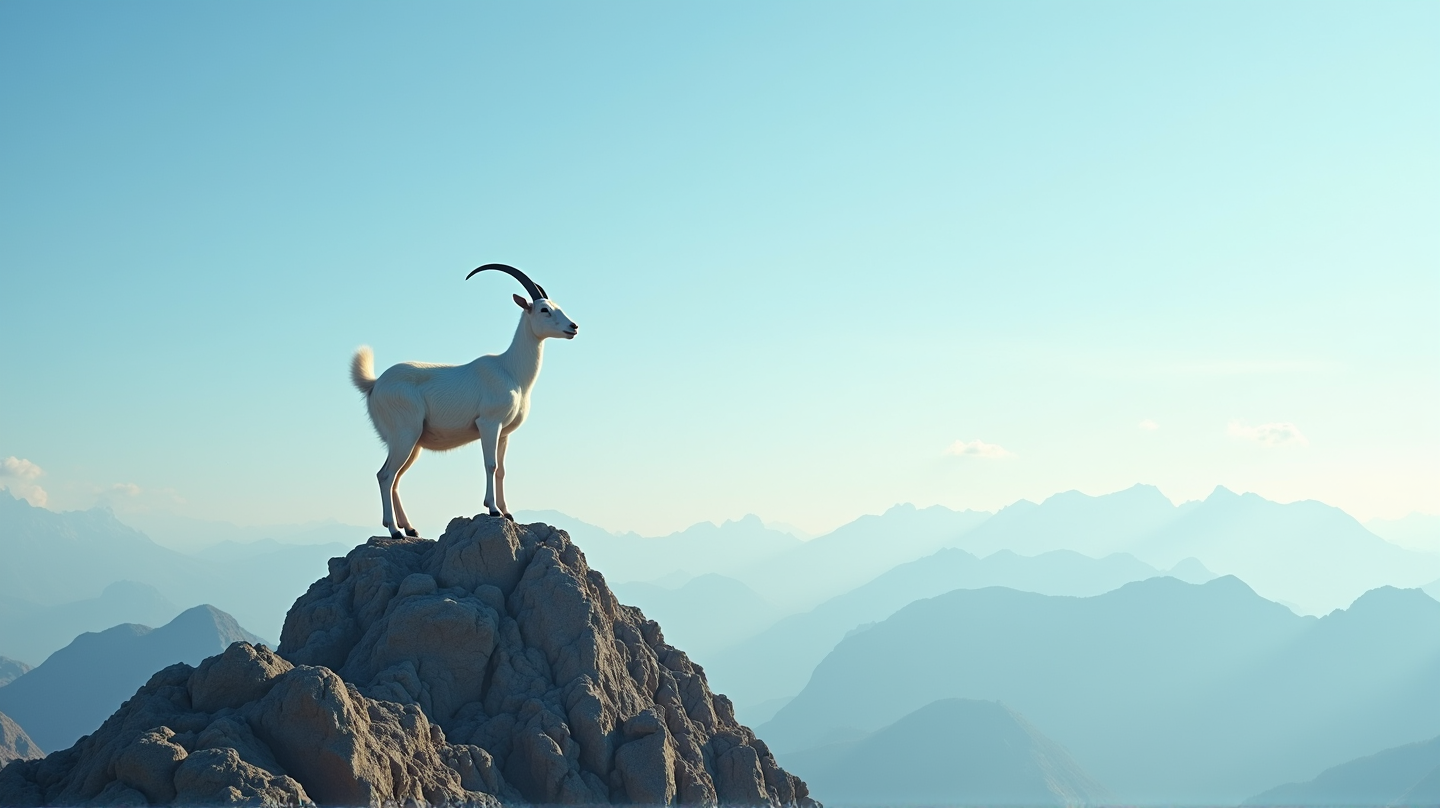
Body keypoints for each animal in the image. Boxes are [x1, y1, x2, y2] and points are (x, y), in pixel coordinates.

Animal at [349, 264, 578, 537]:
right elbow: (490, 464)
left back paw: (410, 529)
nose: (573, 327)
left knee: (395, 478)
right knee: (385, 476)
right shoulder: (488, 424)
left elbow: (502, 470)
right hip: (404, 434)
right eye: (544, 309)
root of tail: (374, 384)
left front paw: (508, 512)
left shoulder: (504, 433)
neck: (510, 370)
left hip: (410, 442)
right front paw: (493, 509)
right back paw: (394, 531)